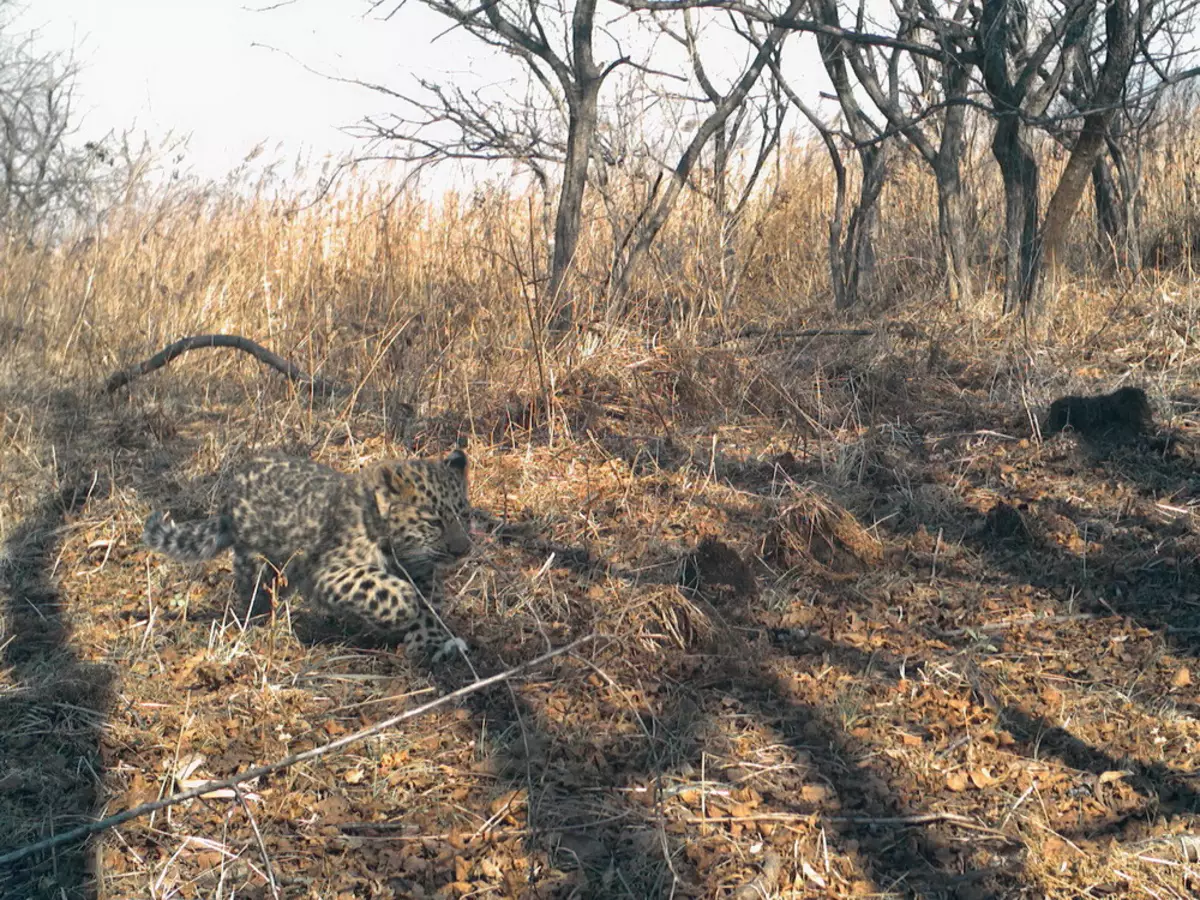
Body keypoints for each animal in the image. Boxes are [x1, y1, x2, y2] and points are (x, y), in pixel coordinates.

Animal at [142, 451, 470, 662]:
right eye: (434, 522)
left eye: (464, 514)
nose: (463, 550)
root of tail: (231, 492)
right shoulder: (330, 573)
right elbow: (386, 589)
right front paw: (401, 609)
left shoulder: (423, 572)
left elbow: (429, 606)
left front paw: (433, 644)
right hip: (257, 563)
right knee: (254, 595)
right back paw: (259, 625)